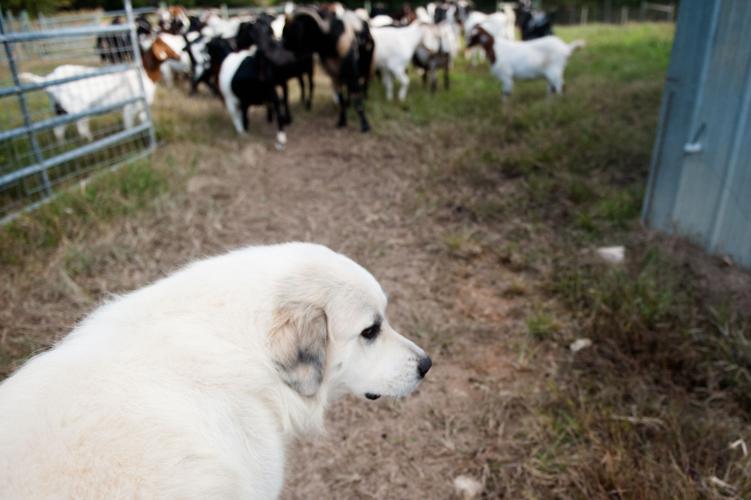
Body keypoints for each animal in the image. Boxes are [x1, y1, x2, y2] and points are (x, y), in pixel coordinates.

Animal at [19, 37, 180, 144]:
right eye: (165, 44)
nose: (179, 55)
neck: (143, 73)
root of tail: (49, 79)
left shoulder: (141, 106)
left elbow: (143, 121)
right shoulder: (129, 107)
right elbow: (129, 126)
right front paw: (129, 140)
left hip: (60, 108)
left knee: (58, 129)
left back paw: (63, 146)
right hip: (78, 109)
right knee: (81, 129)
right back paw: (90, 142)